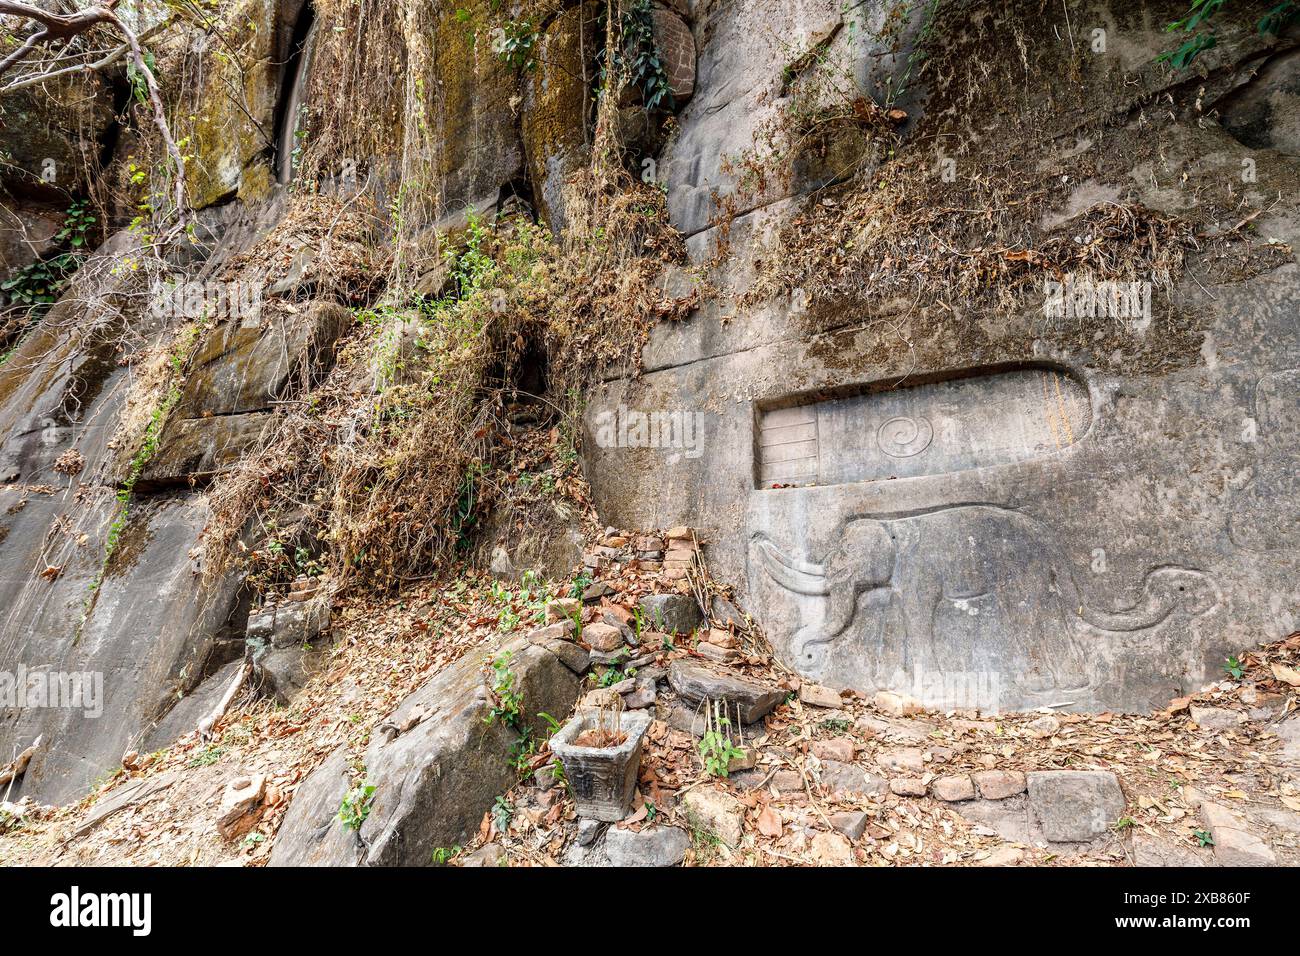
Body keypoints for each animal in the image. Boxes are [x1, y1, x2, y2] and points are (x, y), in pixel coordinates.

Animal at [752, 504, 1219, 699]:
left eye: (844, 559)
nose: (808, 658)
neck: (893, 525)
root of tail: (1049, 539)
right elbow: (897, 611)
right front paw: (893, 683)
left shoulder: (921, 570)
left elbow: (918, 614)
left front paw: (930, 686)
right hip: (1039, 575)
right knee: (1049, 613)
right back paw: (1071, 683)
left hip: (1018, 569)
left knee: (1023, 613)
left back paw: (1037, 685)